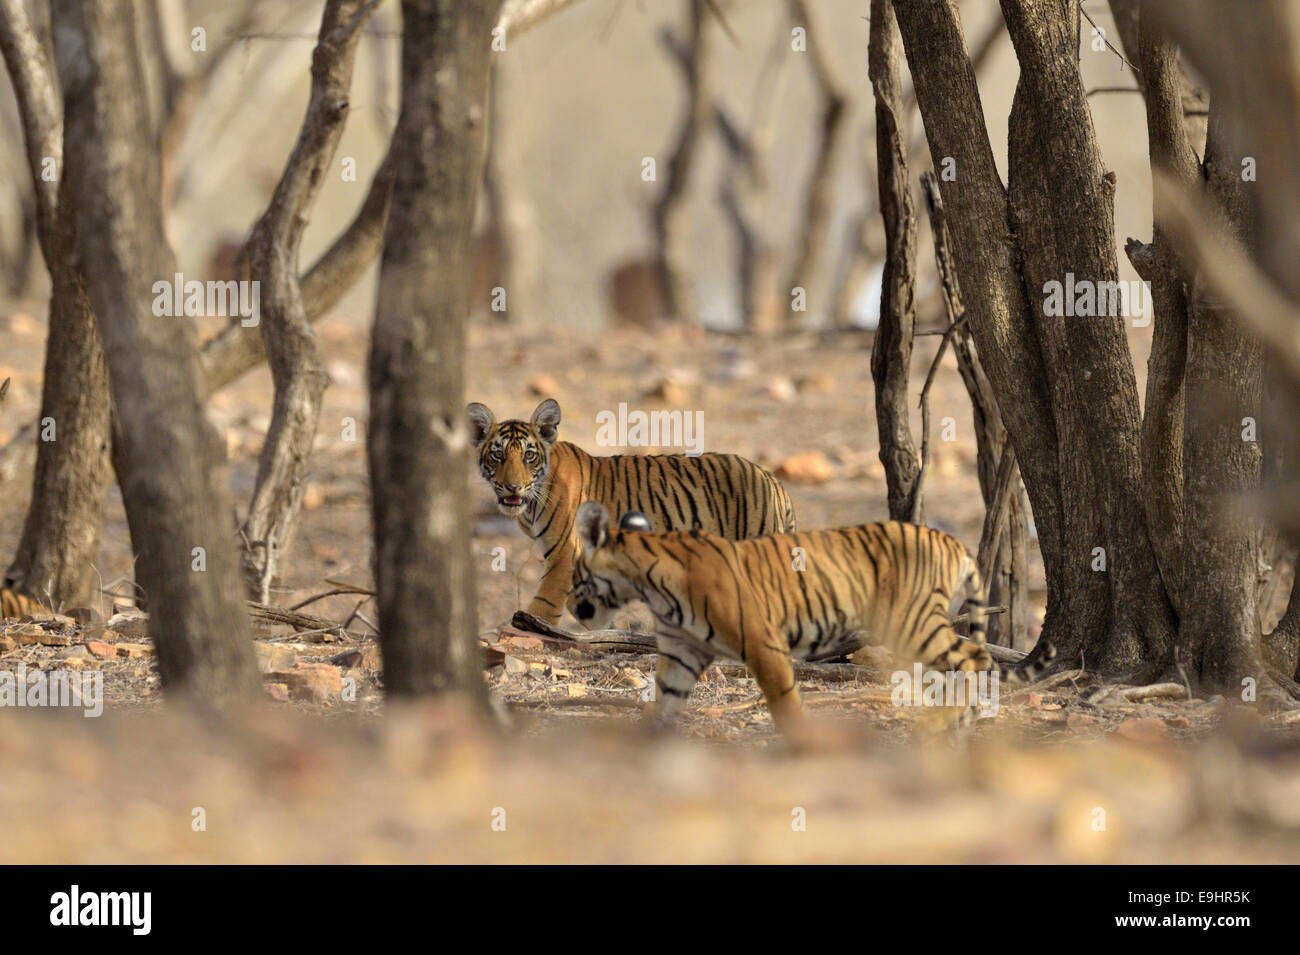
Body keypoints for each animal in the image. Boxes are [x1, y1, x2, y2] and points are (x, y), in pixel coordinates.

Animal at [468, 398, 796, 625]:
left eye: (529, 456)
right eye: (497, 455)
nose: (513, 486)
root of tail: (773, 480)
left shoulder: (563, 553)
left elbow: (544, 604)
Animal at [570, 503, 1056, 743]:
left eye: (576, 572)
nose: (572, 607)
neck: (647, 584)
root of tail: (948, 538)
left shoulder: (762, 642)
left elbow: (785, 701)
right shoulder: (681, 653)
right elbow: (663, 703)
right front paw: (645, 745)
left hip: (912, 622)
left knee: (974, 658)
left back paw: (950, 723)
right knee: (967, 662)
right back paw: (960, 721)